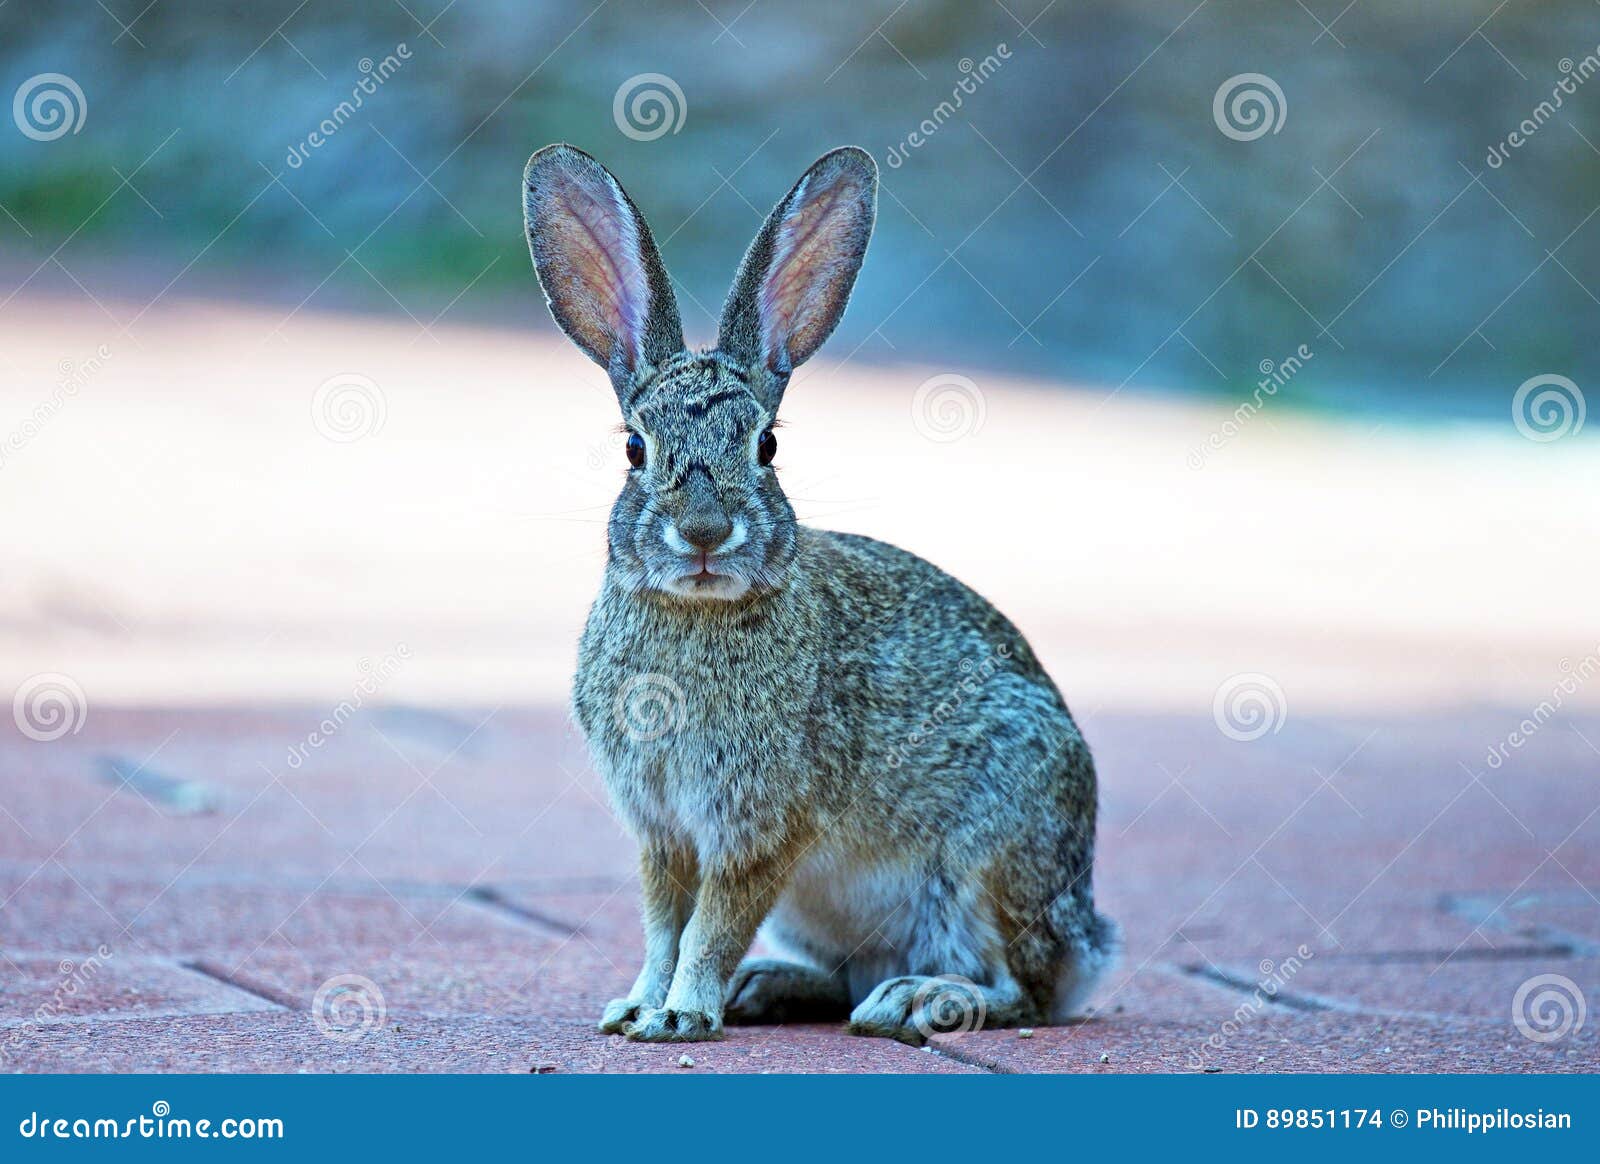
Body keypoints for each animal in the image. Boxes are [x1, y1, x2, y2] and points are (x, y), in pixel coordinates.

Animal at [523, 142, 1117, 1045]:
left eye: (766, 446)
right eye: (634, 449)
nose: (705, 532)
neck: (699, 614)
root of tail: (1091, 941)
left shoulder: (764, 826)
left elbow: (712, 924)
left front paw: (681, 1014)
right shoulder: (662, 830)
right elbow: (665, 923)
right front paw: (636, 1005)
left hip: (990, 859)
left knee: (1027, 991)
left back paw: (920, 999)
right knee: (851, 977)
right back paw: (768, 986)